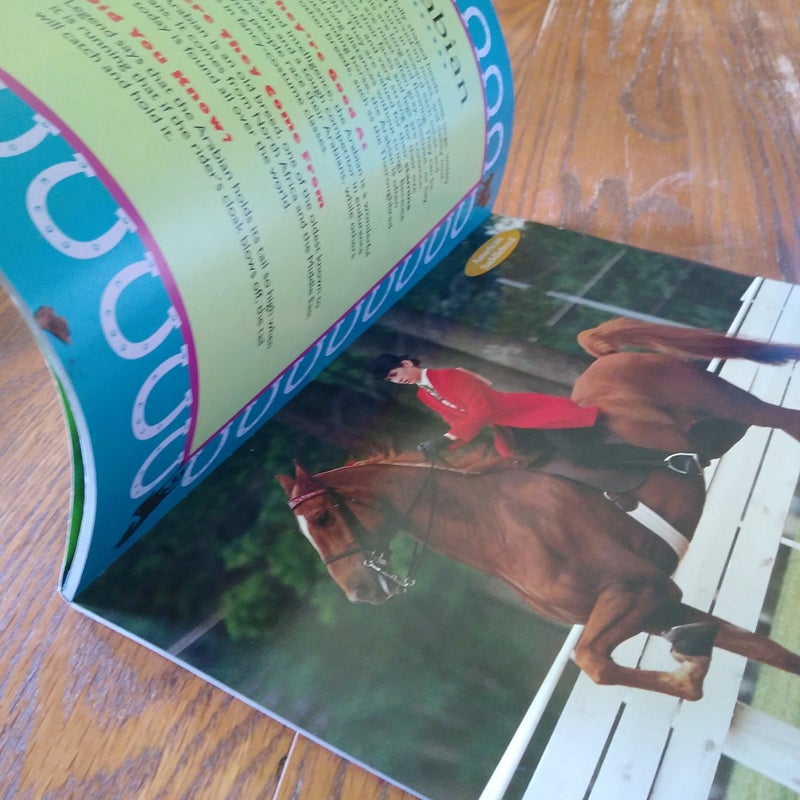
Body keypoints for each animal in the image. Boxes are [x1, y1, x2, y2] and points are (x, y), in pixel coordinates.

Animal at [277, 318, 800, 701]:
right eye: (304, 533)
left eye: (322, 518)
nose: (360, 593)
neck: (498, 531)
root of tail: (607, 360)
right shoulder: (659, 606)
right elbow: (768, 650)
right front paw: (696, 653)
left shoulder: (641, 589)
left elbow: (594, 663)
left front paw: (690, 666)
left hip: (739, 407)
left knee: (787, 419)